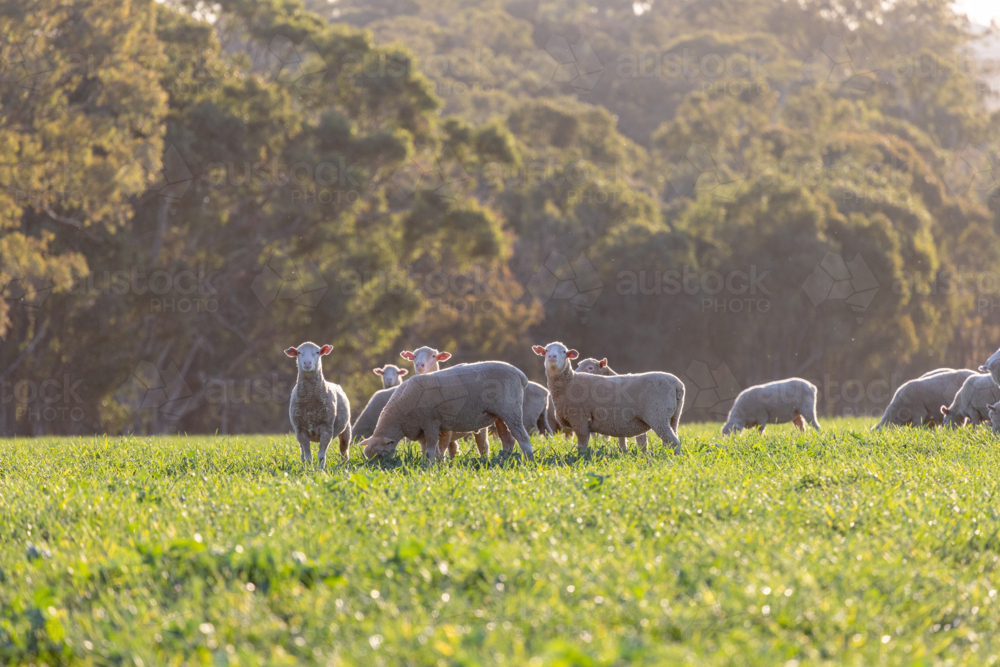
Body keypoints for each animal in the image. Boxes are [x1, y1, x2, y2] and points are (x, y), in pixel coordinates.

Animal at [361, 361, 533, 461]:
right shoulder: (421, 430)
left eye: (380, 455)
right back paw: (505, 459)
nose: (378, 470)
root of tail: (519, 374)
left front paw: (430, 466)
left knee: (522, 436)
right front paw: (434, 463)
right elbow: (427, 449)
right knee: (507, 439)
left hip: (510, 409)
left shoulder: (430, 423)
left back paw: (528, 459)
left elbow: (431, 448)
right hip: (499, 415)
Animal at [533, 342, 684, 454]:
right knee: (671, 440)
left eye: (564, 351)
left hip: (658, 415)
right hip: (672, 417)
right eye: (546, 350)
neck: (569, 382)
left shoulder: (580, 420)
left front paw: (580, 459)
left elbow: (582, 446)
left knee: (673, 442)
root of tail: (677, 384)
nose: (551, 356)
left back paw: (671, 460)